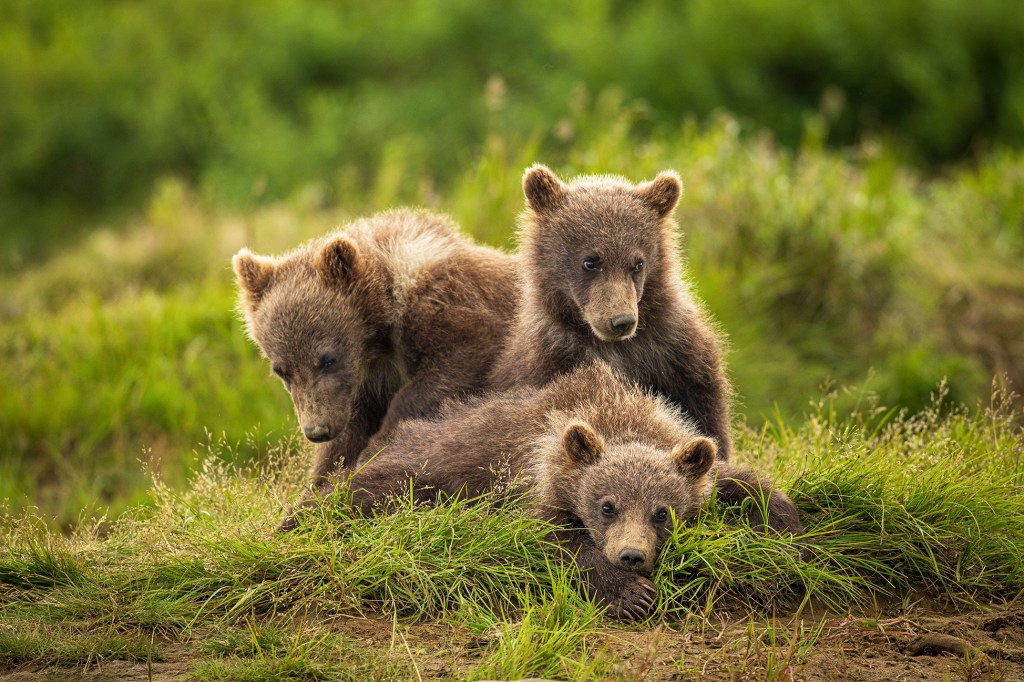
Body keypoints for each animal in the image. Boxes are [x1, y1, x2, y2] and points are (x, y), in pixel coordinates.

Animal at [232, 208, 518, 529]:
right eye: (281, 370)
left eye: (327, 358)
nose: (316, 430)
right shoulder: (364, 383)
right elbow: (346, 437)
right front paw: (316, 488)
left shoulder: (451, 307)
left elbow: (452, 363)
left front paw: (378, 448)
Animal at [345, 361, 804, 620]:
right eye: (607, 506)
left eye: (662, 512)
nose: (632, 555)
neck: (616, 414)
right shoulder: (532, 478)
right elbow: (550, 538)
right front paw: (630, 595)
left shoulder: (689, 458)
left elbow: (740, 481)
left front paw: (793, 538)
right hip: (409, 474)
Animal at [488, 165, 735, 460]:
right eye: (590, 261)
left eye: (638, 263)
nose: (622, 321)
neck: (618, 351)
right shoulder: (547, 361)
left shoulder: (676, 352)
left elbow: (705, 409)